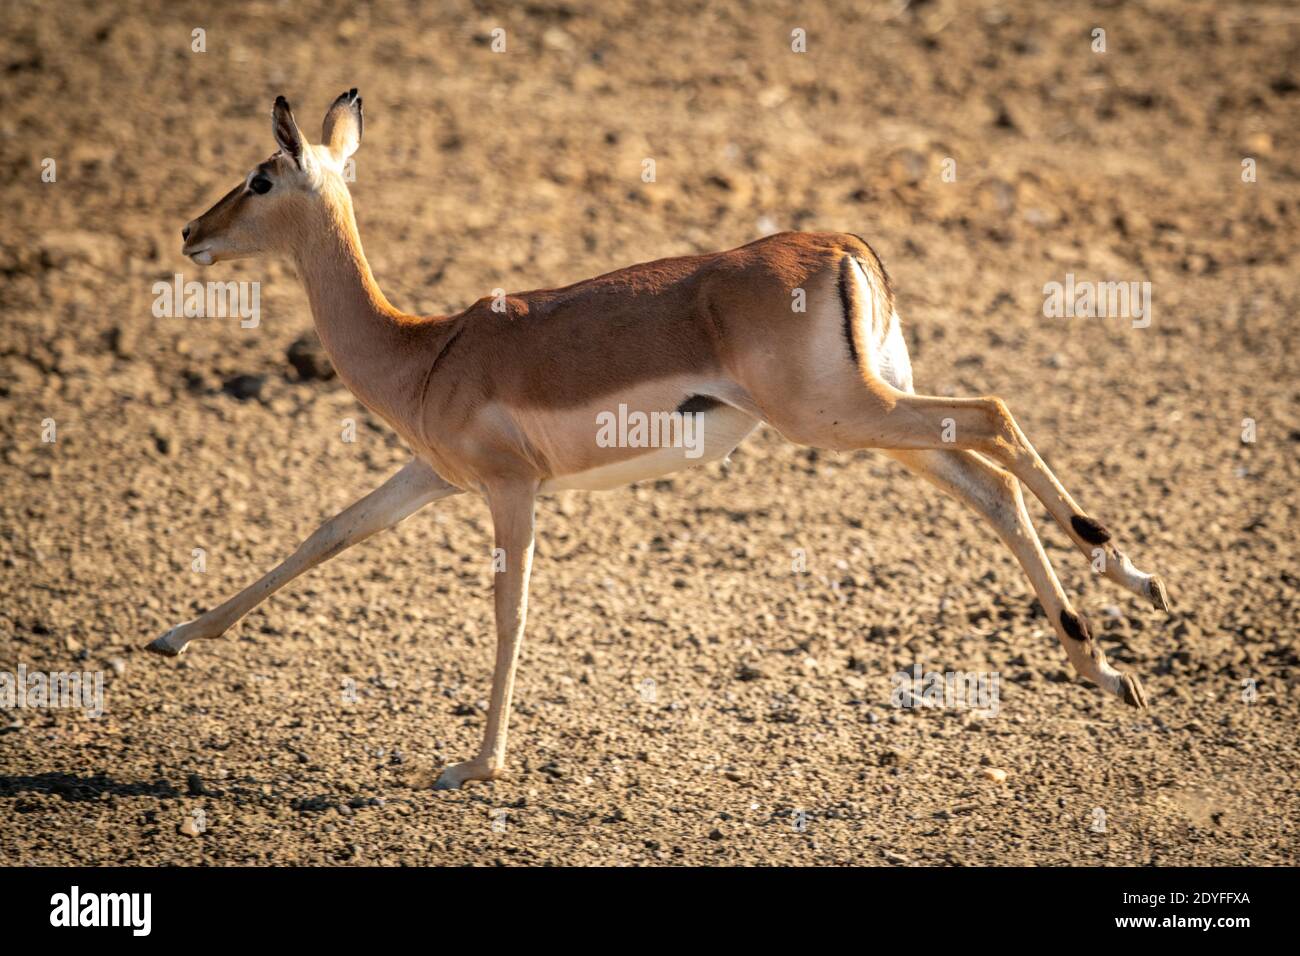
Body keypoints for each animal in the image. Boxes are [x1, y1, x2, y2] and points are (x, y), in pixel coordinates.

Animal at [150, 91, 1171, 789]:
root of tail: (848, 246)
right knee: (991, 484)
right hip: (872, 417)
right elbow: (328, 532)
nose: (192, 230)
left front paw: (474, 767)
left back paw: (1129, 591)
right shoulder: (432, 477)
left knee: (995, 415)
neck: (425, 348)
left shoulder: (509, 491)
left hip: (843, 417)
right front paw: (172, 638)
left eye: (260, 177)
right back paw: (1105, 659)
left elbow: (509, 612)